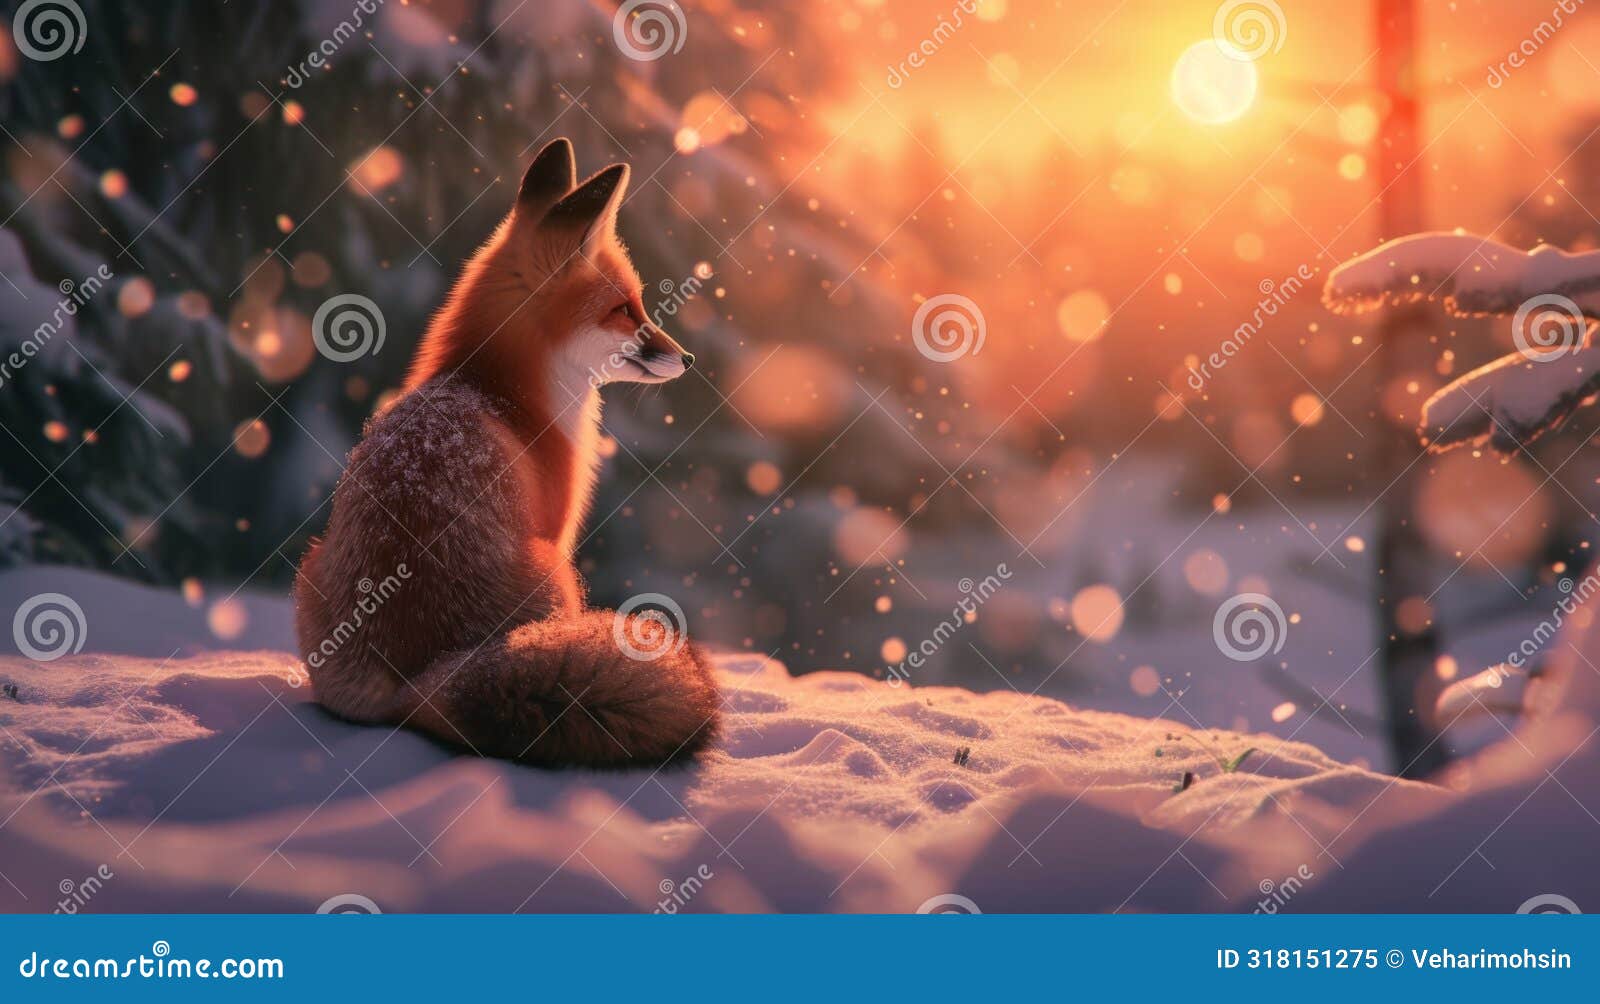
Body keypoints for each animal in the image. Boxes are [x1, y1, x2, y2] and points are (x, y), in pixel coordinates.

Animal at [293, 138, 719, 767]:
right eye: (625, 309)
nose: (687, 358)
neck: (500, 387)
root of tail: (417, 683)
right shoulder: (560, 529)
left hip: (311, 567)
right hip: (559, 574)